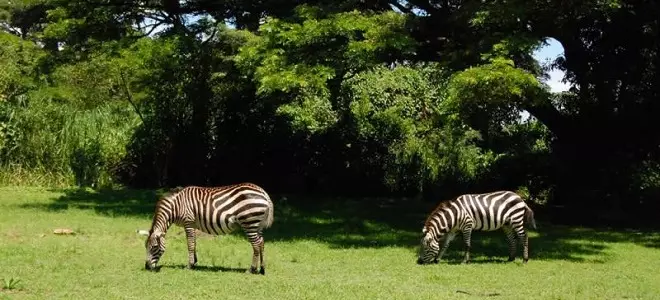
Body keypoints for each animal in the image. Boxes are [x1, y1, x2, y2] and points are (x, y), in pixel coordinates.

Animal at [144, 182, 274, 276]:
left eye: (154, 247)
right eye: (146, 247)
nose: (147, 267)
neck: (176, 207)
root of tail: (263, 192)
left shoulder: (188, 222)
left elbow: (190, 244)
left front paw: (189, 265)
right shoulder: (193, 224)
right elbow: (194, 243)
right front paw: (195, 262)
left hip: (249, 222)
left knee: (256, 245)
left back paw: (252, 269)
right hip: (257, 225)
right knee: (261, 242)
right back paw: (262, 269)